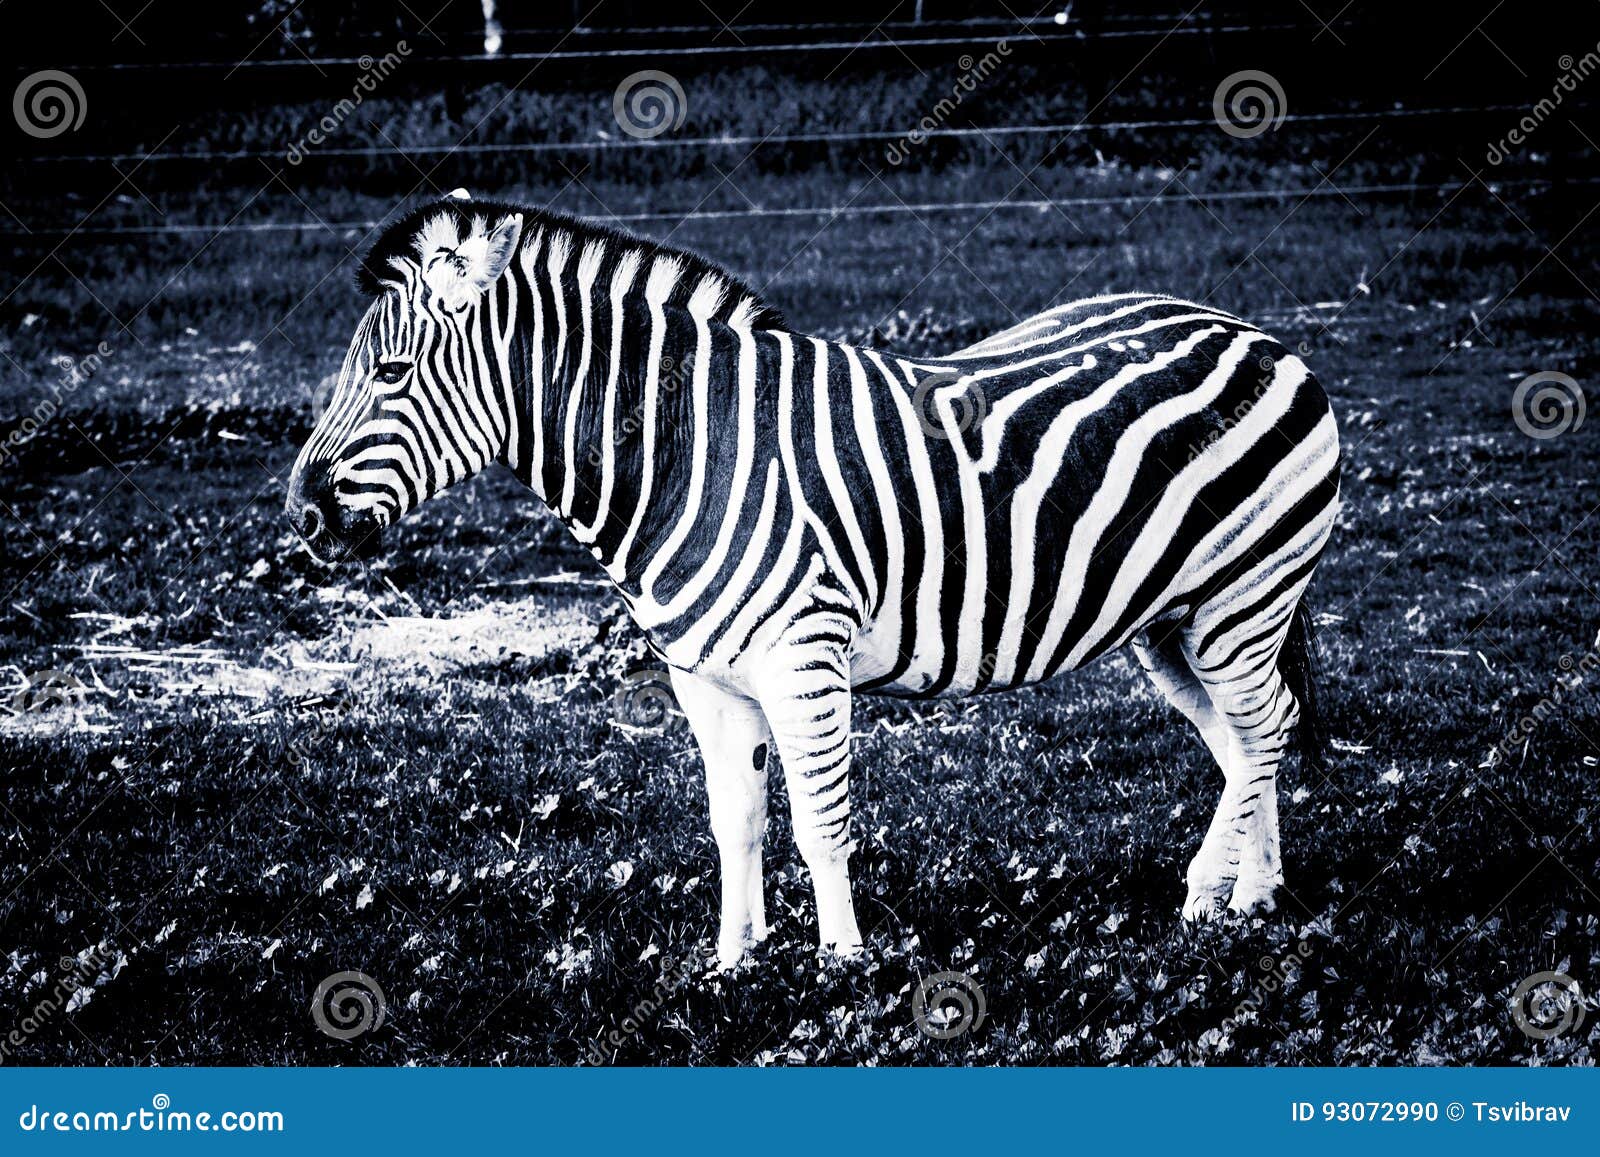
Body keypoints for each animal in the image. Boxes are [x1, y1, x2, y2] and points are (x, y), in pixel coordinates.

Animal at [286, 191, 1341, 970]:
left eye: (389, 372)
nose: (300, 511)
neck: (686, 452)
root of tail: (1256, 332)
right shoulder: (705, 677)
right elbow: (738, 820)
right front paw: (733, 960)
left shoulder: (804, 659)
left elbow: (821, 820)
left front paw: (844, 963)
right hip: (1169, 624)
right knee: (1247, 740)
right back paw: (1253, 892)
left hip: (1242, 598)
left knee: (1261, 730)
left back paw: (1206, 895)